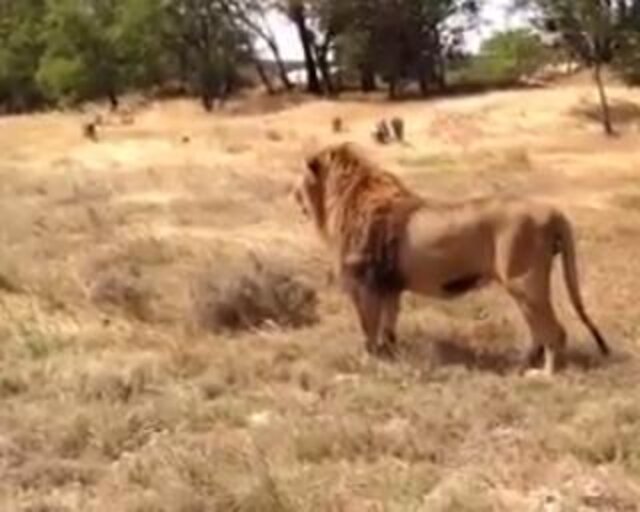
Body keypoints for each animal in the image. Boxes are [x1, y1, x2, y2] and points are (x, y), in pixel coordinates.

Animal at [294, 142, 610, 376]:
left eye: (301, 178)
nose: (293, 195)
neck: (343, 196)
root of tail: (552, 211)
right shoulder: (389, 287)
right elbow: (388, 326)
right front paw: (392, 355)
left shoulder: (364, 285)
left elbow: (368, 330)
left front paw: (368, 363)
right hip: (523, 288)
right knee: (538, 331)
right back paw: (521, 364)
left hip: (525, 283)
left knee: (555, 332)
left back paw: (544, 374)